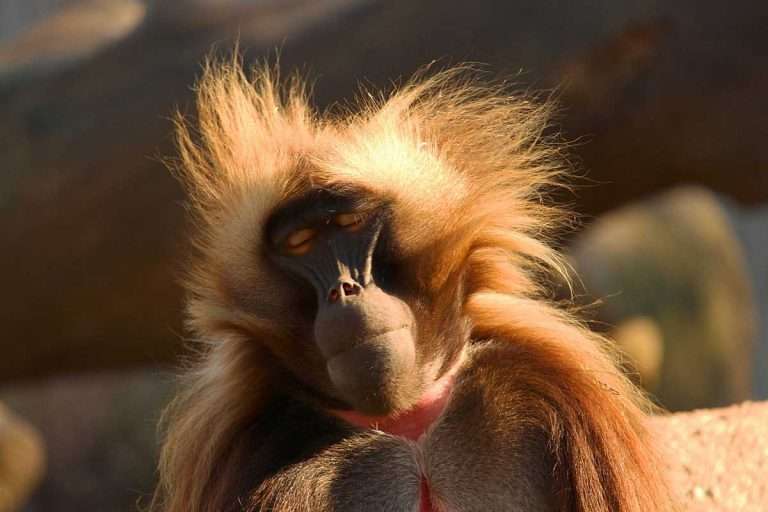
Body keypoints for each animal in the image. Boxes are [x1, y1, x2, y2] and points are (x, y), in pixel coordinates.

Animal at [151, 59, 672, 512]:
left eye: (349, 223)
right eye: (300, 243)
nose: (345, 290)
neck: (408, 424)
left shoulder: (557, 391)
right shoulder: (257, 449)